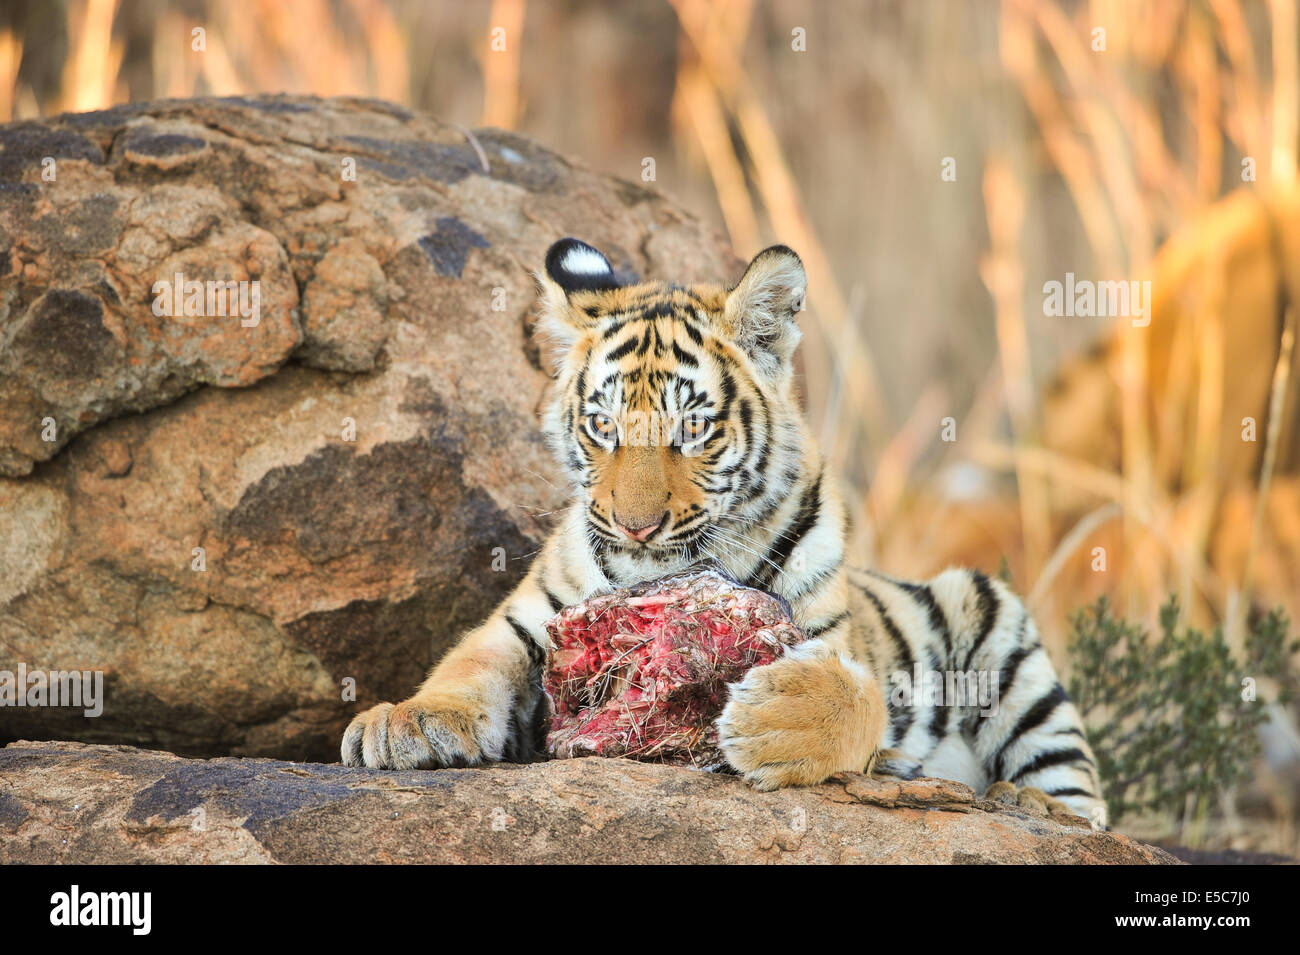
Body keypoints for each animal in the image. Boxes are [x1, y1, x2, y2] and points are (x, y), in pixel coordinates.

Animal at [340, 238, 1107, 825]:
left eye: (692, 428)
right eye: (602, 425)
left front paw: (772, 724)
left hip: (998, 625)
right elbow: (469, 660)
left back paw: (1028, 804)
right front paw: (406, 721)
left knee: (1082, 796)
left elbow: (855, 695)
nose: (636, 527)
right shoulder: (529, 621)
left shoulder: (836, 641)